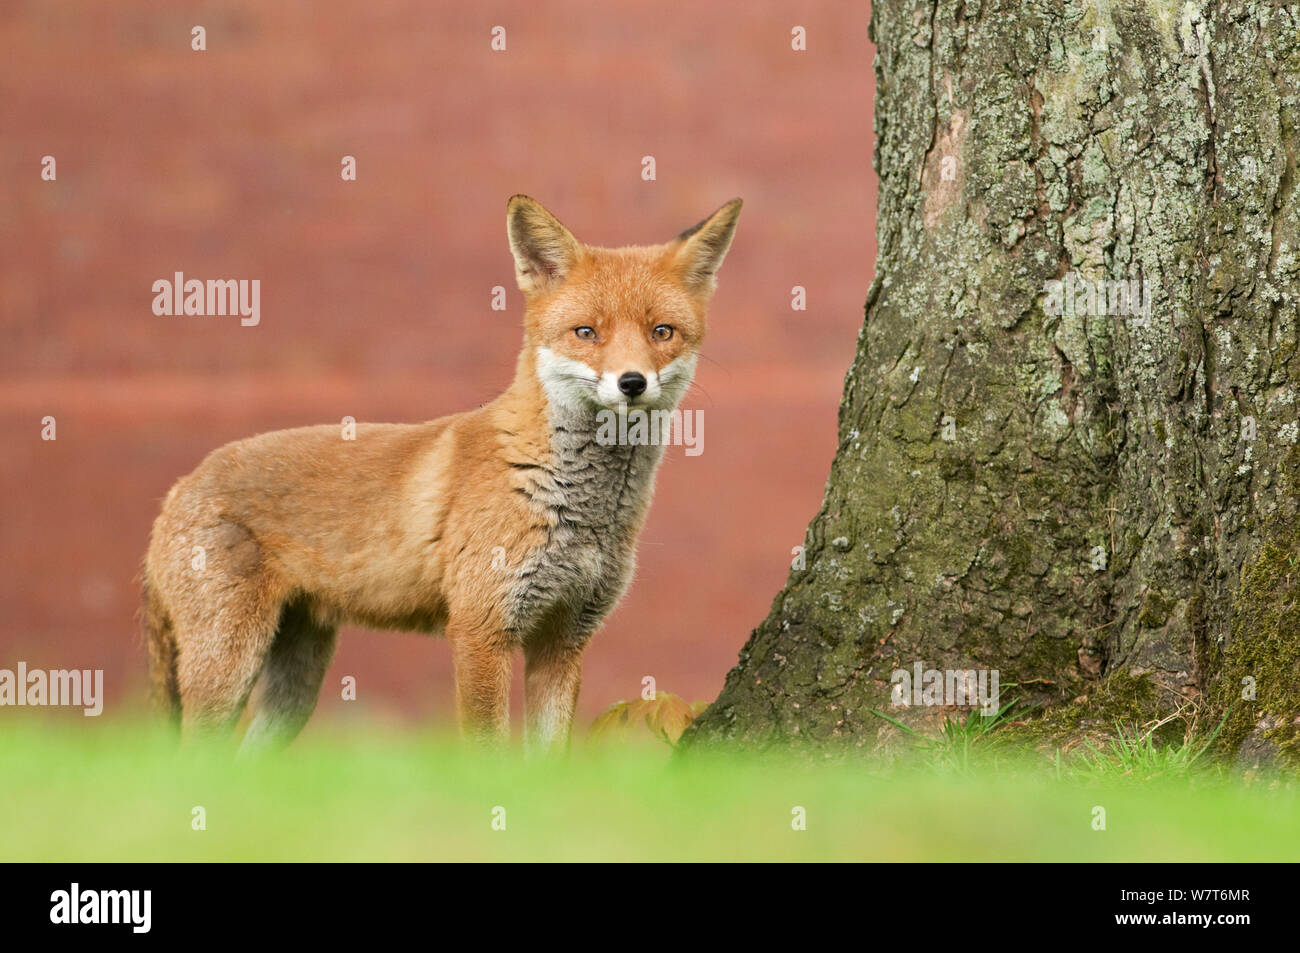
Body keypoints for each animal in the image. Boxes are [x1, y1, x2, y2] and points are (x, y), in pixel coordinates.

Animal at [142, 194, 742, 753]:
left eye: (661, 331)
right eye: (586, 332)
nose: (632, 382)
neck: (577, 506)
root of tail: (178, 488)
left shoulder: (564, 639)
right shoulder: (480, 628)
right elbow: (488, 752)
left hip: (294, 686)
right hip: (229, 667)